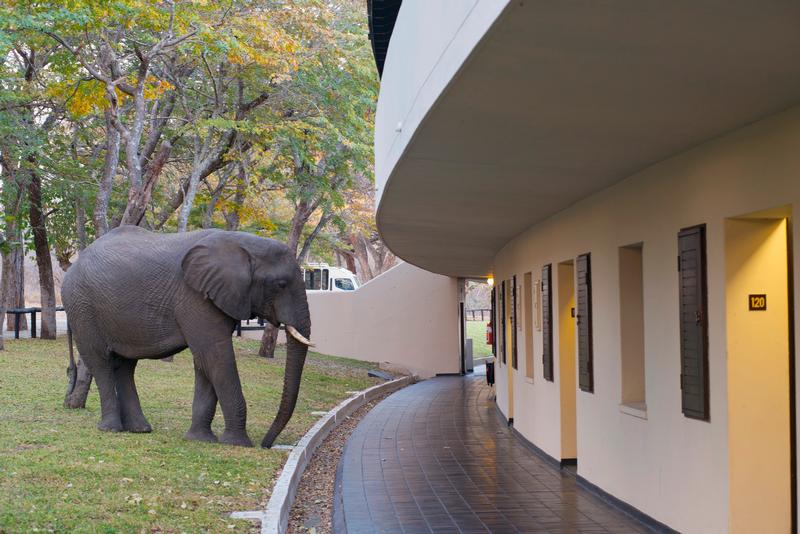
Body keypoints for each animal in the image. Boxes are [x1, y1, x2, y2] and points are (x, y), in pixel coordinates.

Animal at [61, 226, 312, 448]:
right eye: (280, 285)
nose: (266, 445)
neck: (241, 243)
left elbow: (205, 361)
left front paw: (200, 440)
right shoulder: (195, 297)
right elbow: (215, 357)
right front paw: (238, 444)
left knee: (125, 366)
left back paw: (140, 429)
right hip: (81, 306)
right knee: (101, 362)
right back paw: (111, 429)